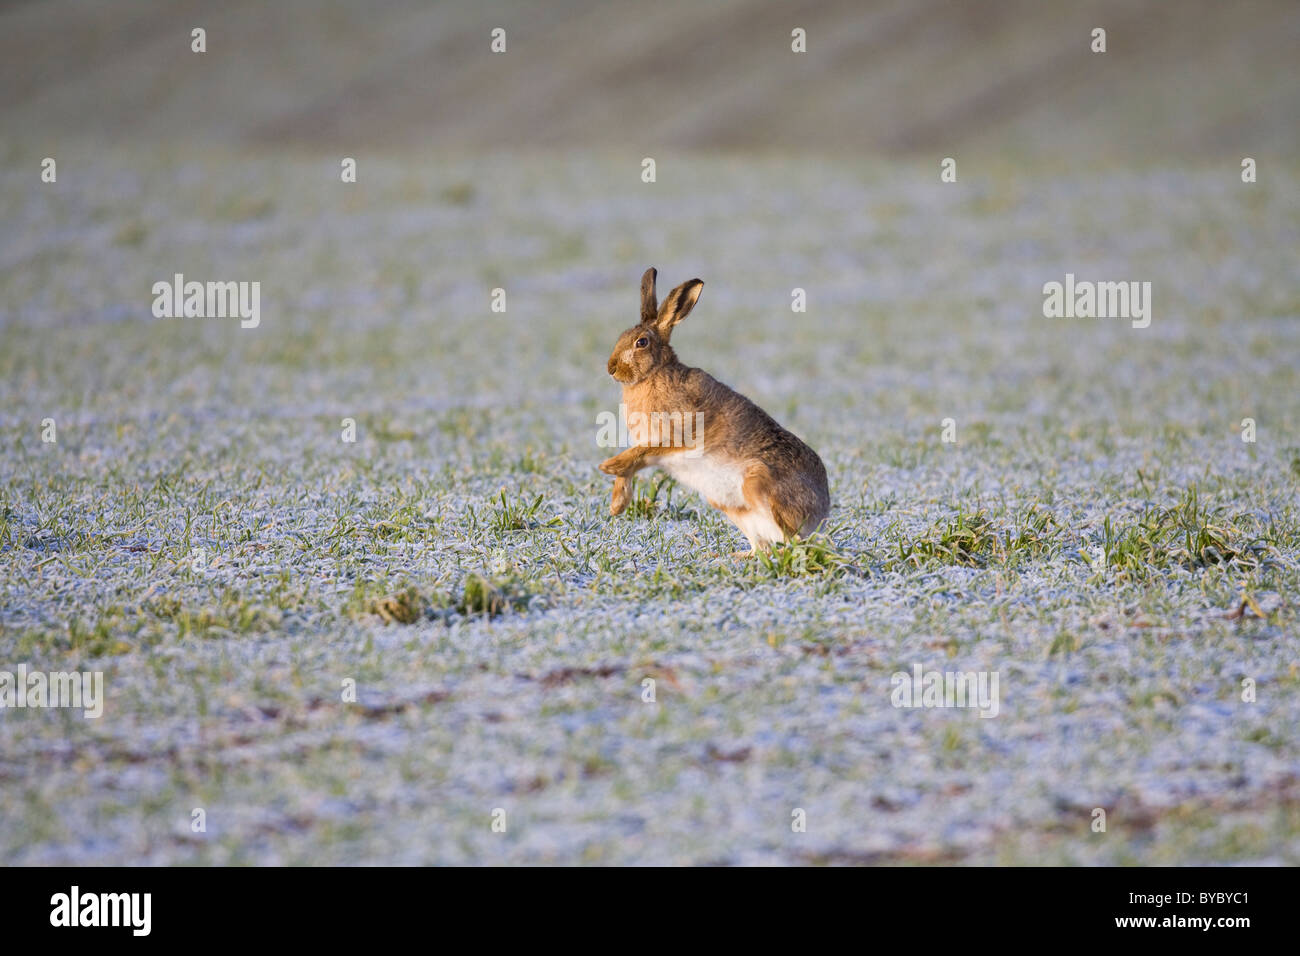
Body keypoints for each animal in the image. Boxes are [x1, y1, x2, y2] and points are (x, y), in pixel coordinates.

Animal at [599, 267, 830, 553]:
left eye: (641, 342)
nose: (611, 368)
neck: (653, 374)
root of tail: (822, 513)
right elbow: (634, 464)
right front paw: (616, 504)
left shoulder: (677, 436)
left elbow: (640, 453)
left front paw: (609, 467)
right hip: (729, 505)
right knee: (762, 545)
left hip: (758, 482)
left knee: (791, 540)